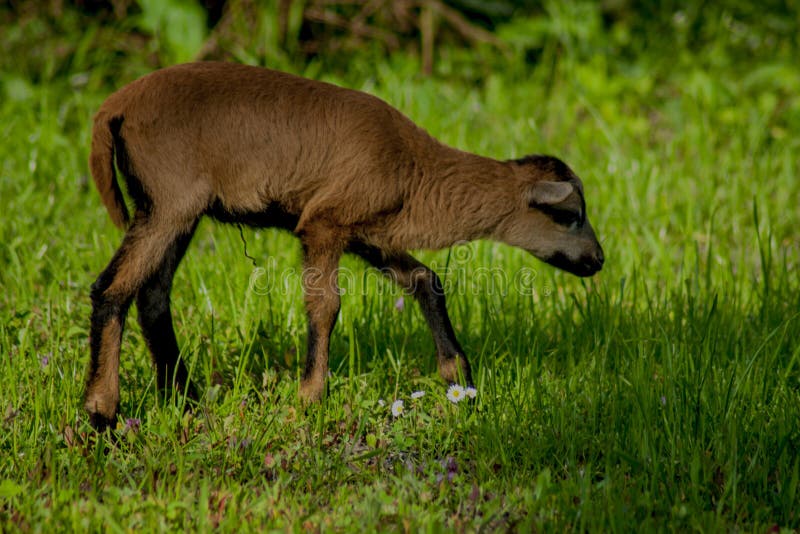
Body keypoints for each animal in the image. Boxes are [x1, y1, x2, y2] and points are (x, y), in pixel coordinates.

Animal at [85, 62, 604, 430]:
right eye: (571, 215)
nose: (598, 260)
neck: (417, 174)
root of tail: (114, 107)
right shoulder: (324, 223)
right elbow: (325, 306)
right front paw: (310, 400)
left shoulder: (367, 233)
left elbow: (427, 281)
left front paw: (460, 378)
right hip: (171, 200)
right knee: (112, 289)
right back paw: (102, 412)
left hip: (169, 206)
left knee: (153, 294)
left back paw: (183, 399)